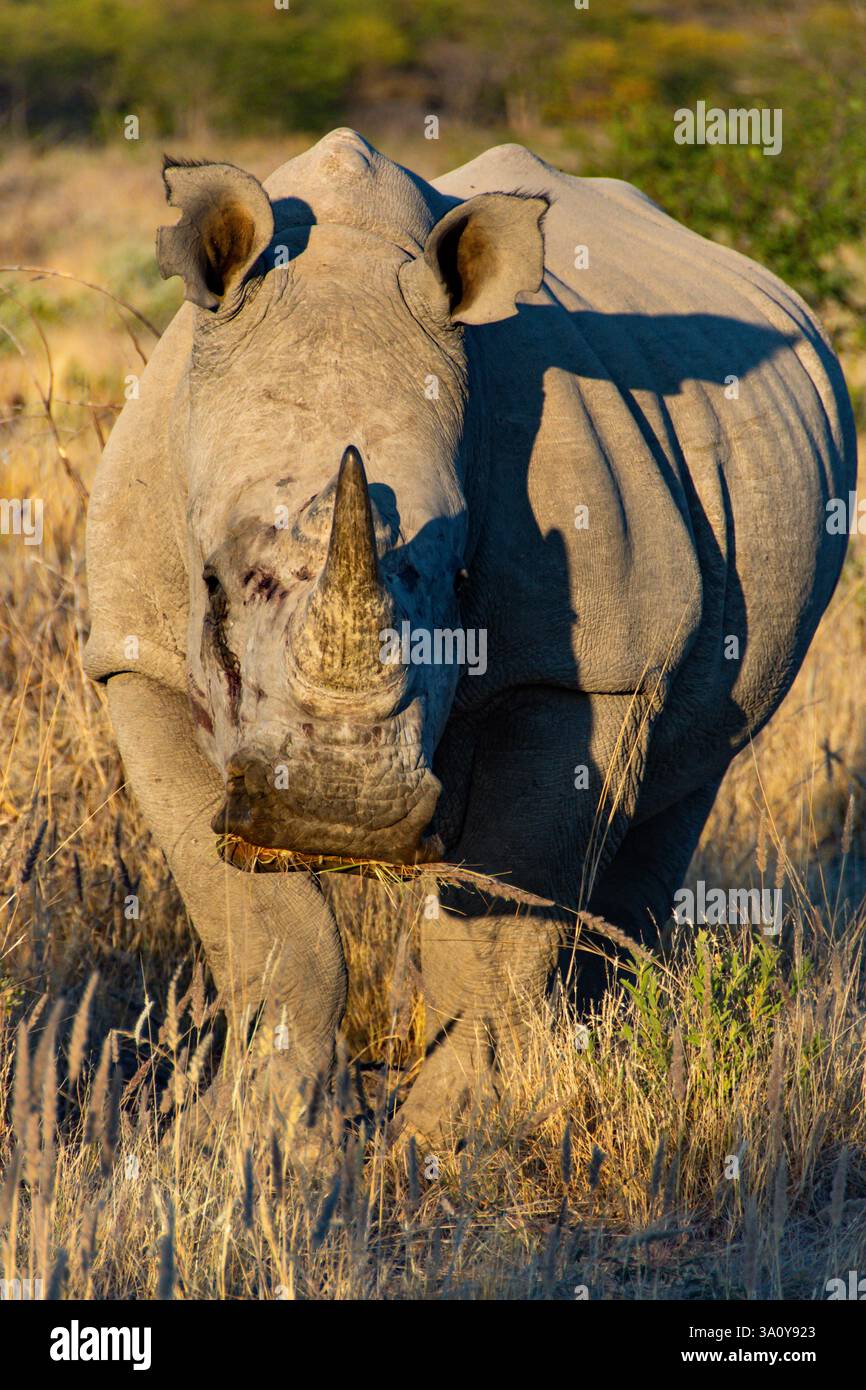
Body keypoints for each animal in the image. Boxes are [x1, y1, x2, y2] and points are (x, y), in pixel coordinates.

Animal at [84, 129, 856, 1143]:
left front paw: (453, 1137)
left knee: (686, 785)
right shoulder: (135, 660)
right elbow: (261, 925)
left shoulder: (587, 673)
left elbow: (500, 910)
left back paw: (610, 1038)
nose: (339, 815)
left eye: (459, 583)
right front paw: (269, 1136)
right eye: (210, 583)